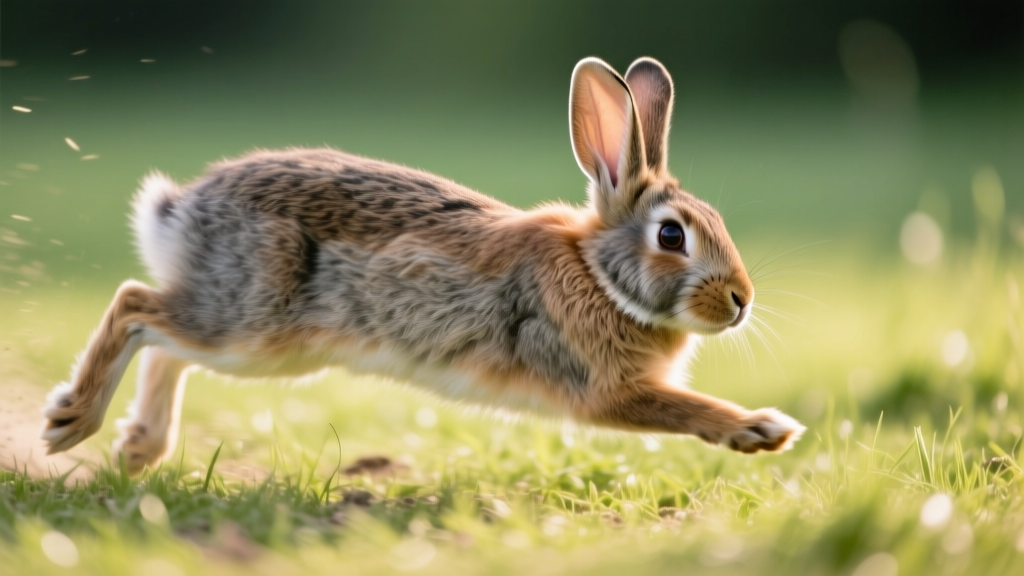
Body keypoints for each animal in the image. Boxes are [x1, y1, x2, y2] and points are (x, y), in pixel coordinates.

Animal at [41, 56, 805, 475]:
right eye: (672, 235)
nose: (740, 300)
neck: (599, 274)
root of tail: (179, 212)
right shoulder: (604, 391)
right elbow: (682, 409)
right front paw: (763, 430)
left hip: (263, 347)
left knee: (166, 341)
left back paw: (139, 448)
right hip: (250, 326)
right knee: (136, 303)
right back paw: (71, 421)